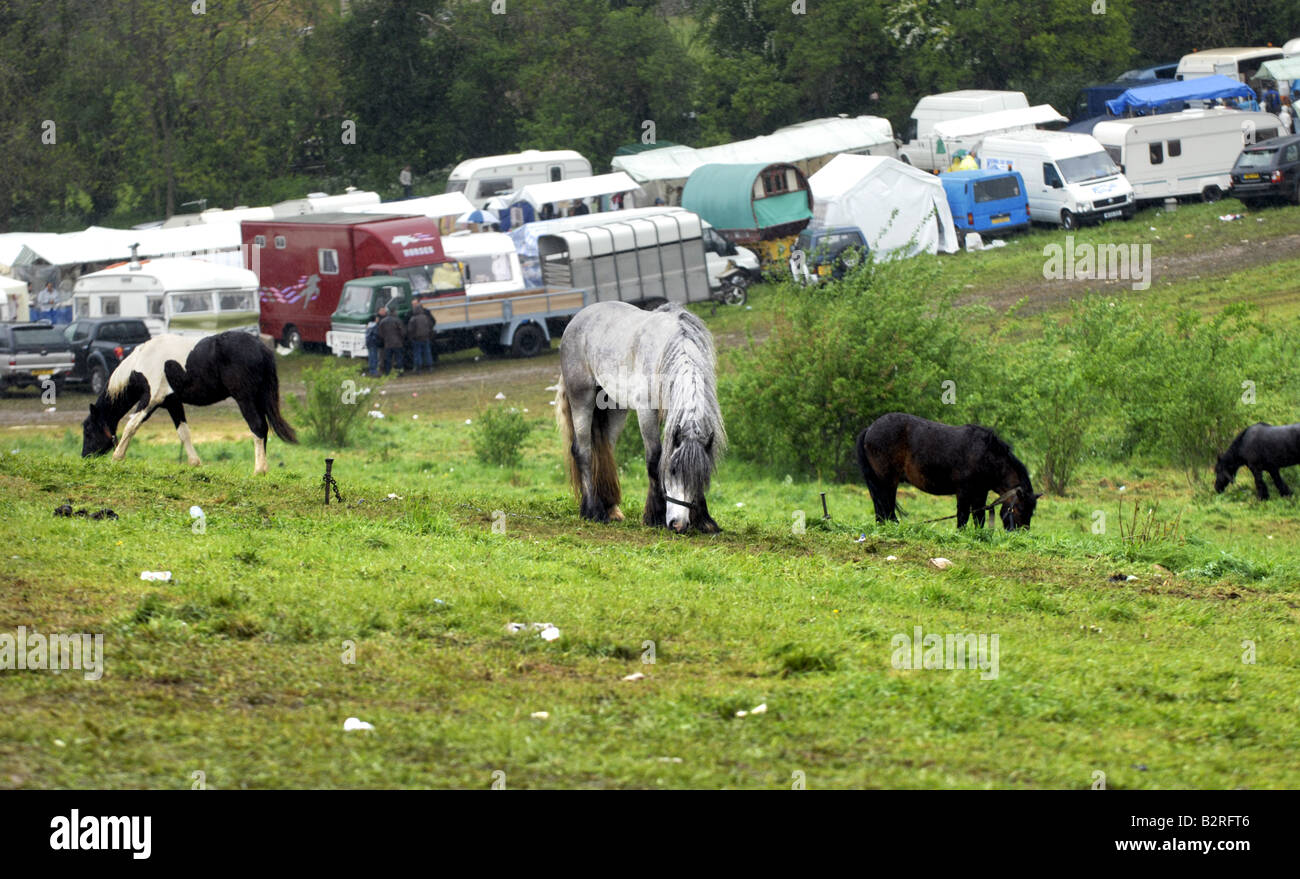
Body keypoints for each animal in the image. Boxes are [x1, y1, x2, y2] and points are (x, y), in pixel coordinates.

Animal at [81, 331, 297, 474]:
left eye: (88, 430)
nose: (85, 457)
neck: (141, 362)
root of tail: (261, 348)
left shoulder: (151, 400)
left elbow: (131, 425)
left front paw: (117, 457)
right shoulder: (172, 403)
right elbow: (183, 433)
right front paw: (195, 463)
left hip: (245, 398)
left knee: (257, 427)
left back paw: (259, 470)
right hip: (258, 398)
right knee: (263, 428)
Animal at [556, 301, 725, 533]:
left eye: (702, 478)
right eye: (672, 471)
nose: (678, 525)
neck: (668, 350)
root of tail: (577, 318)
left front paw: (704, 519)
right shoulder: (646, 412)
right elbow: (654, 459)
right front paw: (655, 516)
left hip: (615, 406)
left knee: (604, 449)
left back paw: (610, 508)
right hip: (582, 397)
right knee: (583, 451)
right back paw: (593, 511)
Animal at [856, 412, 1039, 530]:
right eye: (1020, 509)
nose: (1020, 533)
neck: (985, 456)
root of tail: (870, 429)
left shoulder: (980, 493)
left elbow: (978, 518)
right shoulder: (964, 491)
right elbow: (963, 516)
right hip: (887, 481)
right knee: (885, 506)